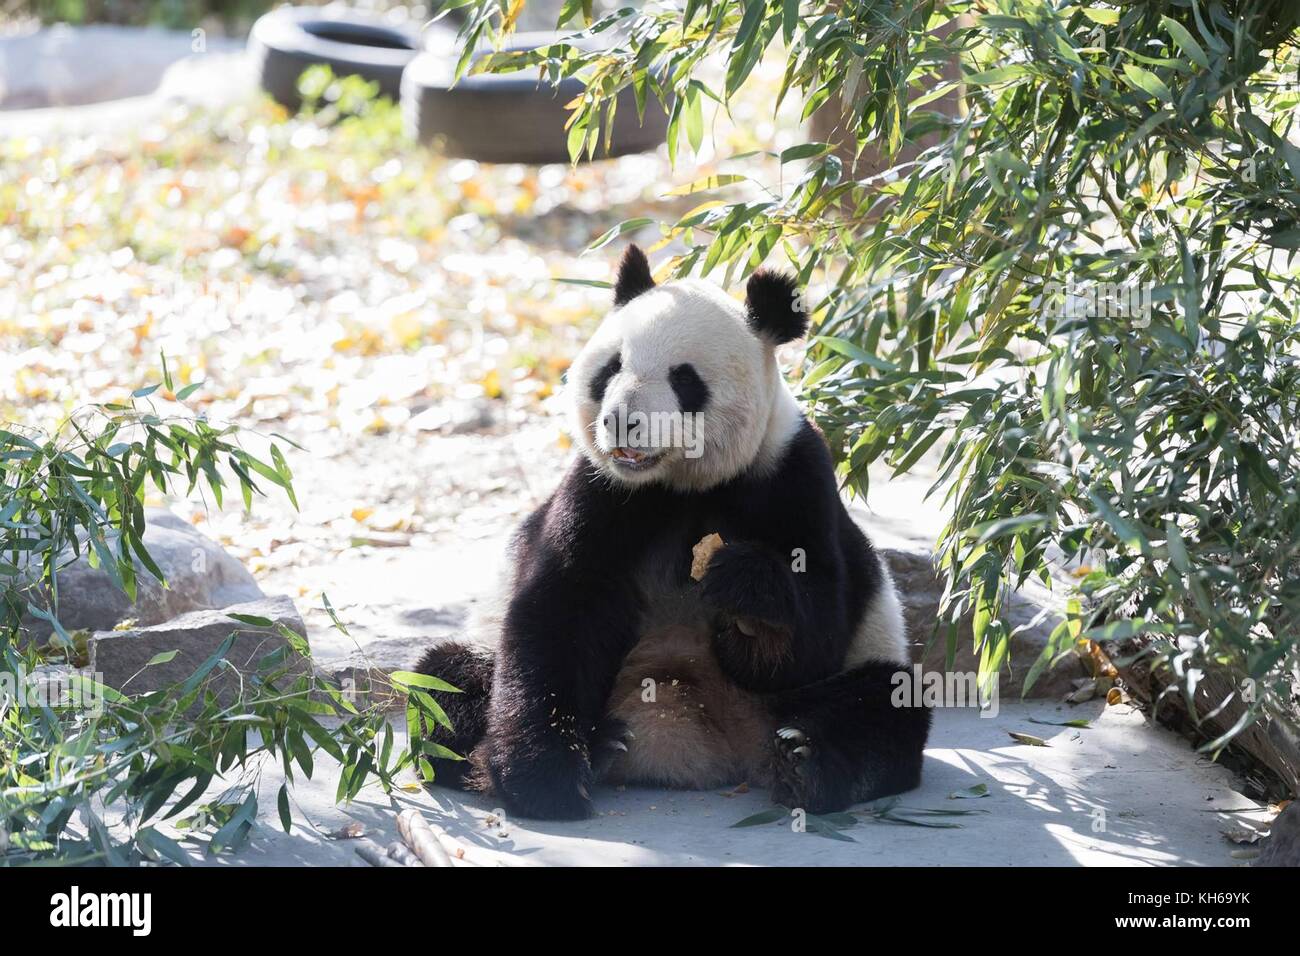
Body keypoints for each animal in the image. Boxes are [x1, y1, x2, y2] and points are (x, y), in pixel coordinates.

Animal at [414, 245, 931, 820]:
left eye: (684, 379)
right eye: (611, 368)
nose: (622, 421)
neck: (681, 483)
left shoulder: (792, 476)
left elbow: (817, 625)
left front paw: (746, 590)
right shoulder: (602, 490)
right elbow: (561, 610)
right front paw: (546, 778)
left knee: (886, 704)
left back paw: (803, 760)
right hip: (484, 649)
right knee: (448, 684)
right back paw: (596, 744)